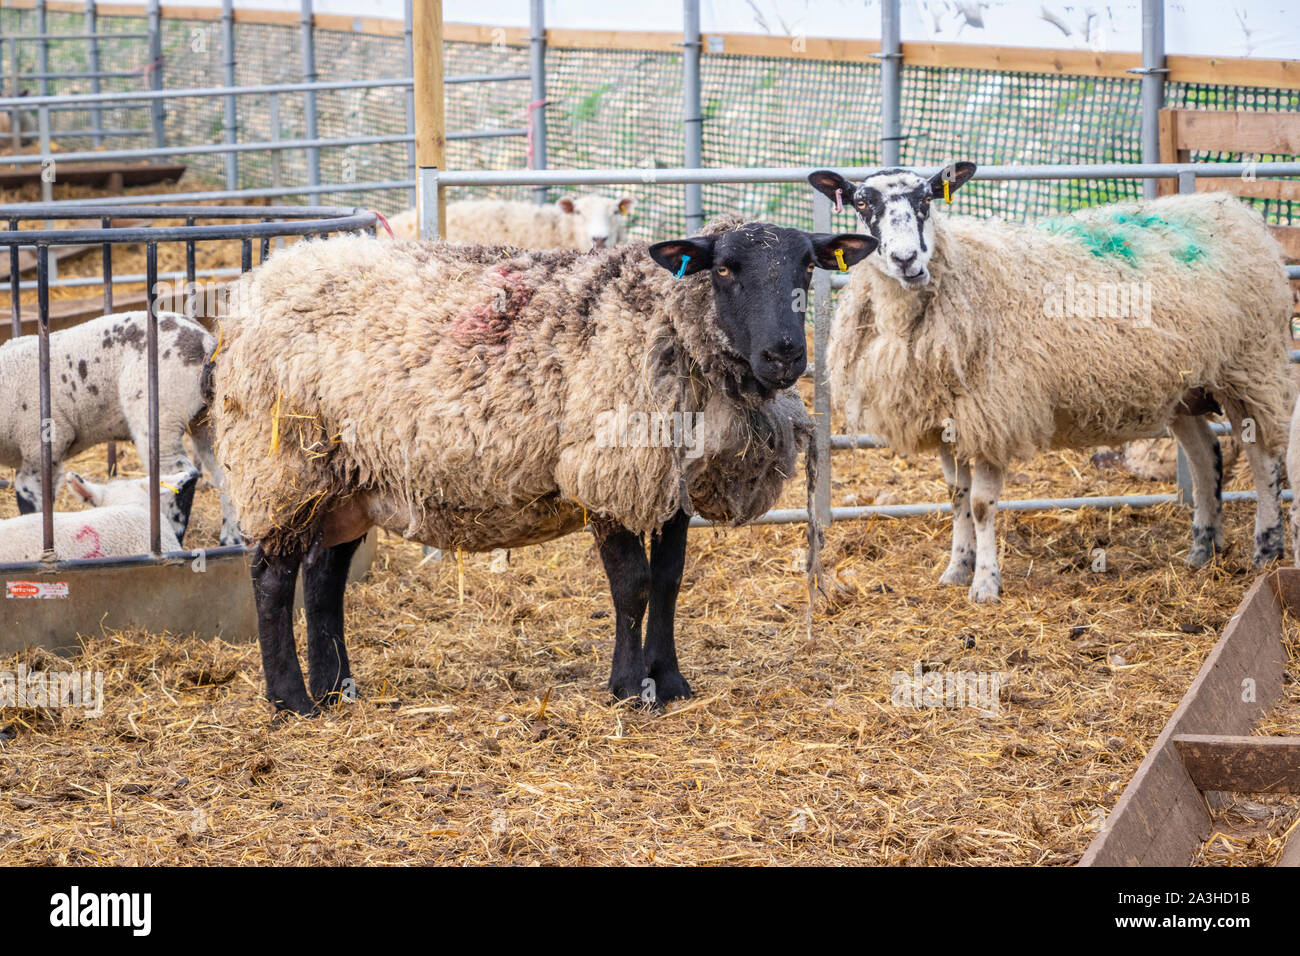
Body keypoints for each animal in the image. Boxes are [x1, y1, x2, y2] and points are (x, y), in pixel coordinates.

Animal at [0, 310, 241, 547]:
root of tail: (206, 342)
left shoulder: (38, 450)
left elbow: (30, 504)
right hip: (205, 419)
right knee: (224, 471)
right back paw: (231, 536)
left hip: (160, 414)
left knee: (181, 473)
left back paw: (173, 532)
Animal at [212, 219, 874, 715]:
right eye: (727, 269)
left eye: (808, 268)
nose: (785, 354)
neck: (664, 327)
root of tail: (267, 276)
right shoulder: (607, 473)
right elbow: (632, 585)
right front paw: (631, 687)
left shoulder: (670, 485)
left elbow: (669, 581)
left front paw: (672, 682)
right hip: (285, 461)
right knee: (272, 577)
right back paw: (291, 699)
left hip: (349, 477)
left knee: (324, 577)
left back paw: (337, 690)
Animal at [809, 163, 1294, 602]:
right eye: (862, 203)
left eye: (927, 198)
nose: (906, 260)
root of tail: (1234, 209)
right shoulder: (946, 419)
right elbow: (956, 496)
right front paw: (956, 569)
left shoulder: (994, 414)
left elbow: (980, 505)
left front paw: (985, 584)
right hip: (1185, 385)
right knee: (1204, 454)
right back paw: (1201, 549)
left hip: (1249, 363)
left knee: (1262, 455)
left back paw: (1266, 549)